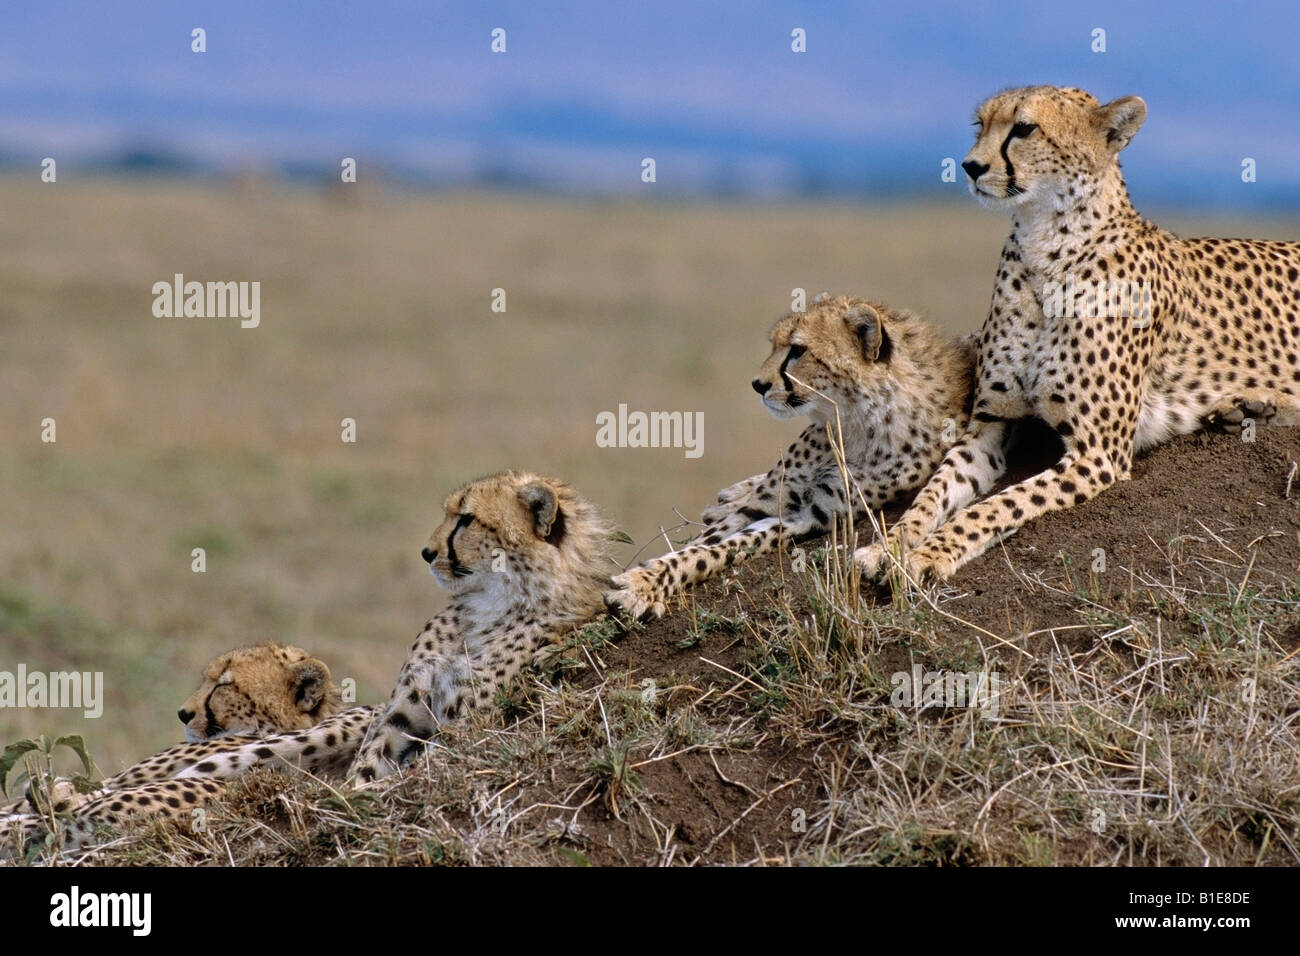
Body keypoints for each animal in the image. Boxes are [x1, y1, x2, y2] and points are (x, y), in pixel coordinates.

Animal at [605, 294, 977, 620]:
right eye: (774, 345)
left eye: (798, 350)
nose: (758, 384)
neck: (856, 423)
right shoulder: (770, 500)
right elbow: (702, 545)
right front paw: (643, 584)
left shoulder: (813, 514)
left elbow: (721, 549)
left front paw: (644, 587)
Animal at [856, 85, 1300, 585]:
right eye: (980, 125)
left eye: (1024, 128)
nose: (970, 166)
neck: (1045, 247)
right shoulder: (987, 428)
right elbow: (930, 496)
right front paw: (887, 547)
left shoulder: (1098, 453)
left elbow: (999, 505)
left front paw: (932, 554)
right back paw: (1252, 407)